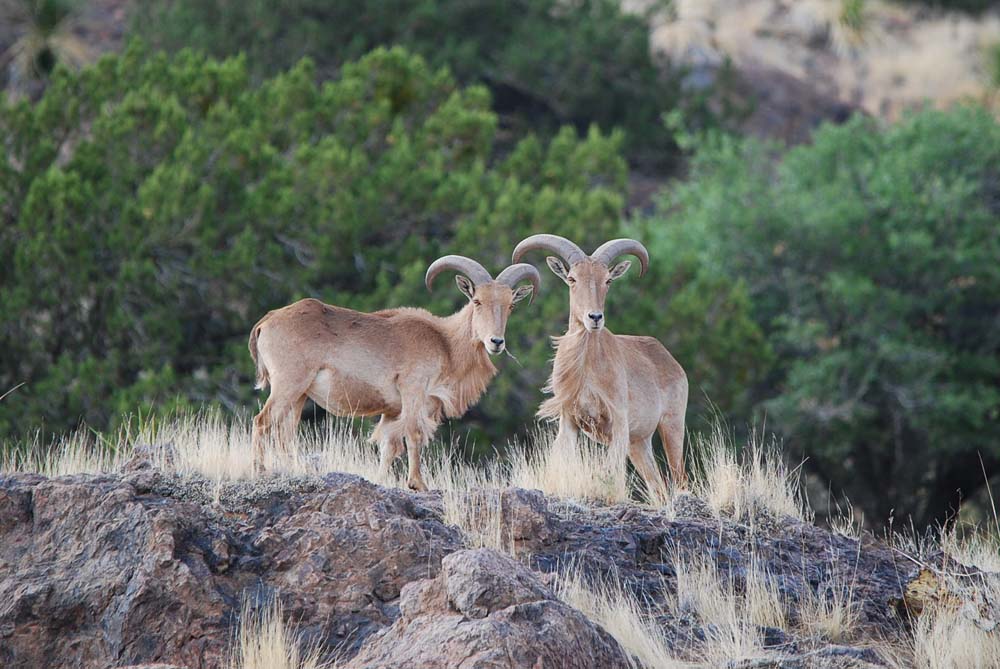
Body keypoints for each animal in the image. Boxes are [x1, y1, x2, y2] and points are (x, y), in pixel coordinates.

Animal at [248, 255, 540, 490]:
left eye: (510, 305)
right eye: (477, 301)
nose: (496, 342)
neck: (445, 343)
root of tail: (266, 322)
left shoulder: (392, 411)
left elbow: (388, 446)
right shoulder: (413, 391)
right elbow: (413, 434)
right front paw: (418, 484)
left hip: (299, 395)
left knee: (285, 433)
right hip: (288, 385)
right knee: (261, 421)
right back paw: (259, 471)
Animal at [512, 234, 688, 501]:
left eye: (607, 280)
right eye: (572, 278)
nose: (594, 318)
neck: (586, 369)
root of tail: (671, 361)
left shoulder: (618, 422)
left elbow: (611, 471)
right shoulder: (569, 421)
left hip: (672, 425)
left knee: (680, 478)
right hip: (639, 443)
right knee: (657, 485)